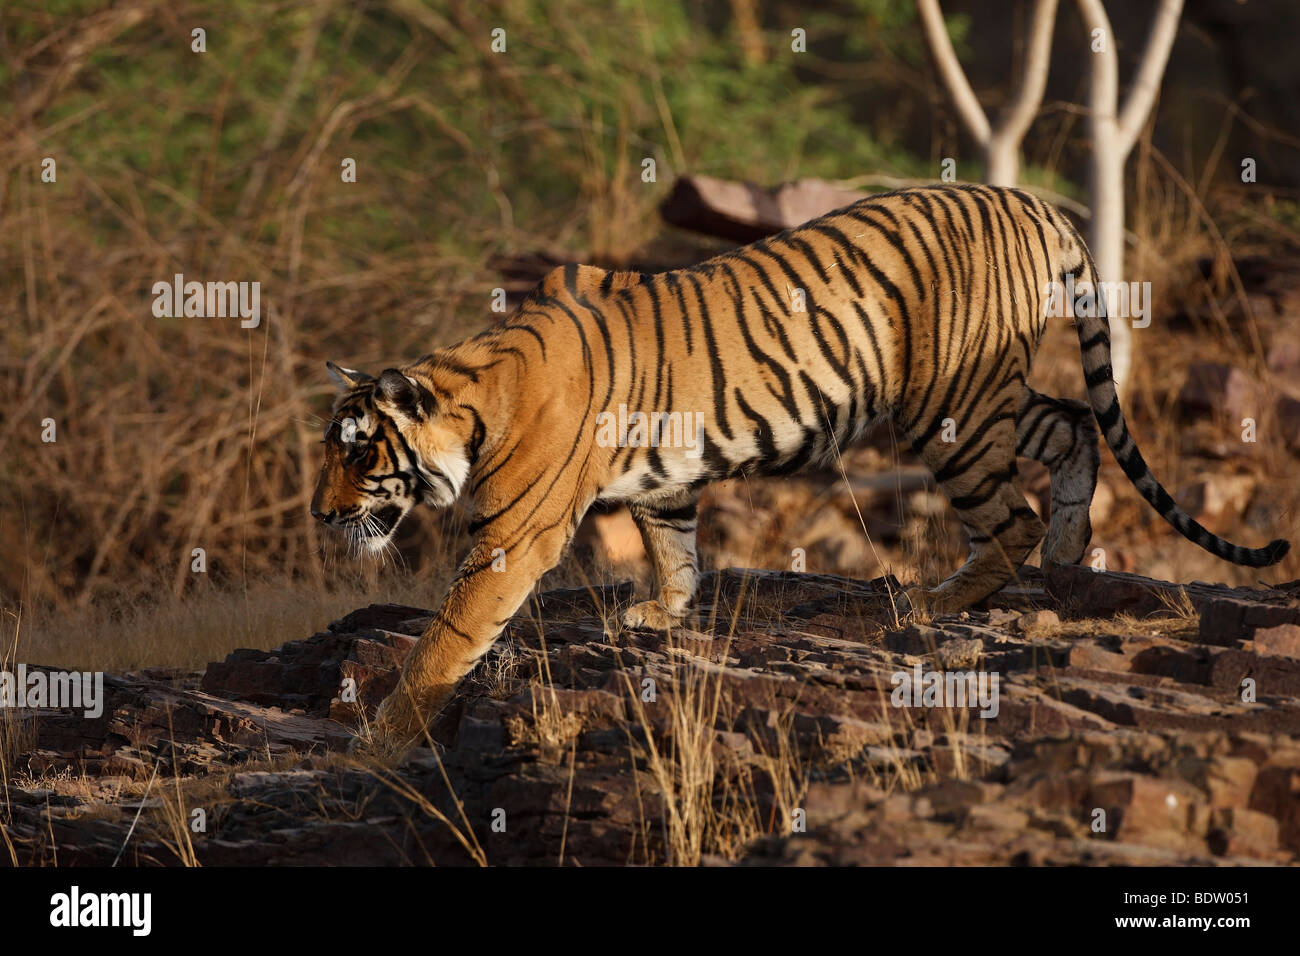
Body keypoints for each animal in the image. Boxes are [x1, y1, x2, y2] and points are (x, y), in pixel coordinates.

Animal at [310, 183, 1290, 747]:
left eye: (359, 452)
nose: (321, 515)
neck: (473, 395)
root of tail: (1031, 201)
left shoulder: (511, 539)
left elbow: (446, 641)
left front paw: (381, 739)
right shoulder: (664, 477)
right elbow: (673, 544)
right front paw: (661, 614)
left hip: (950, 406)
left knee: (1009, 510)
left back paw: (933, 601)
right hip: (989, 398)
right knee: (1076, 424)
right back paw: (1065, 551)